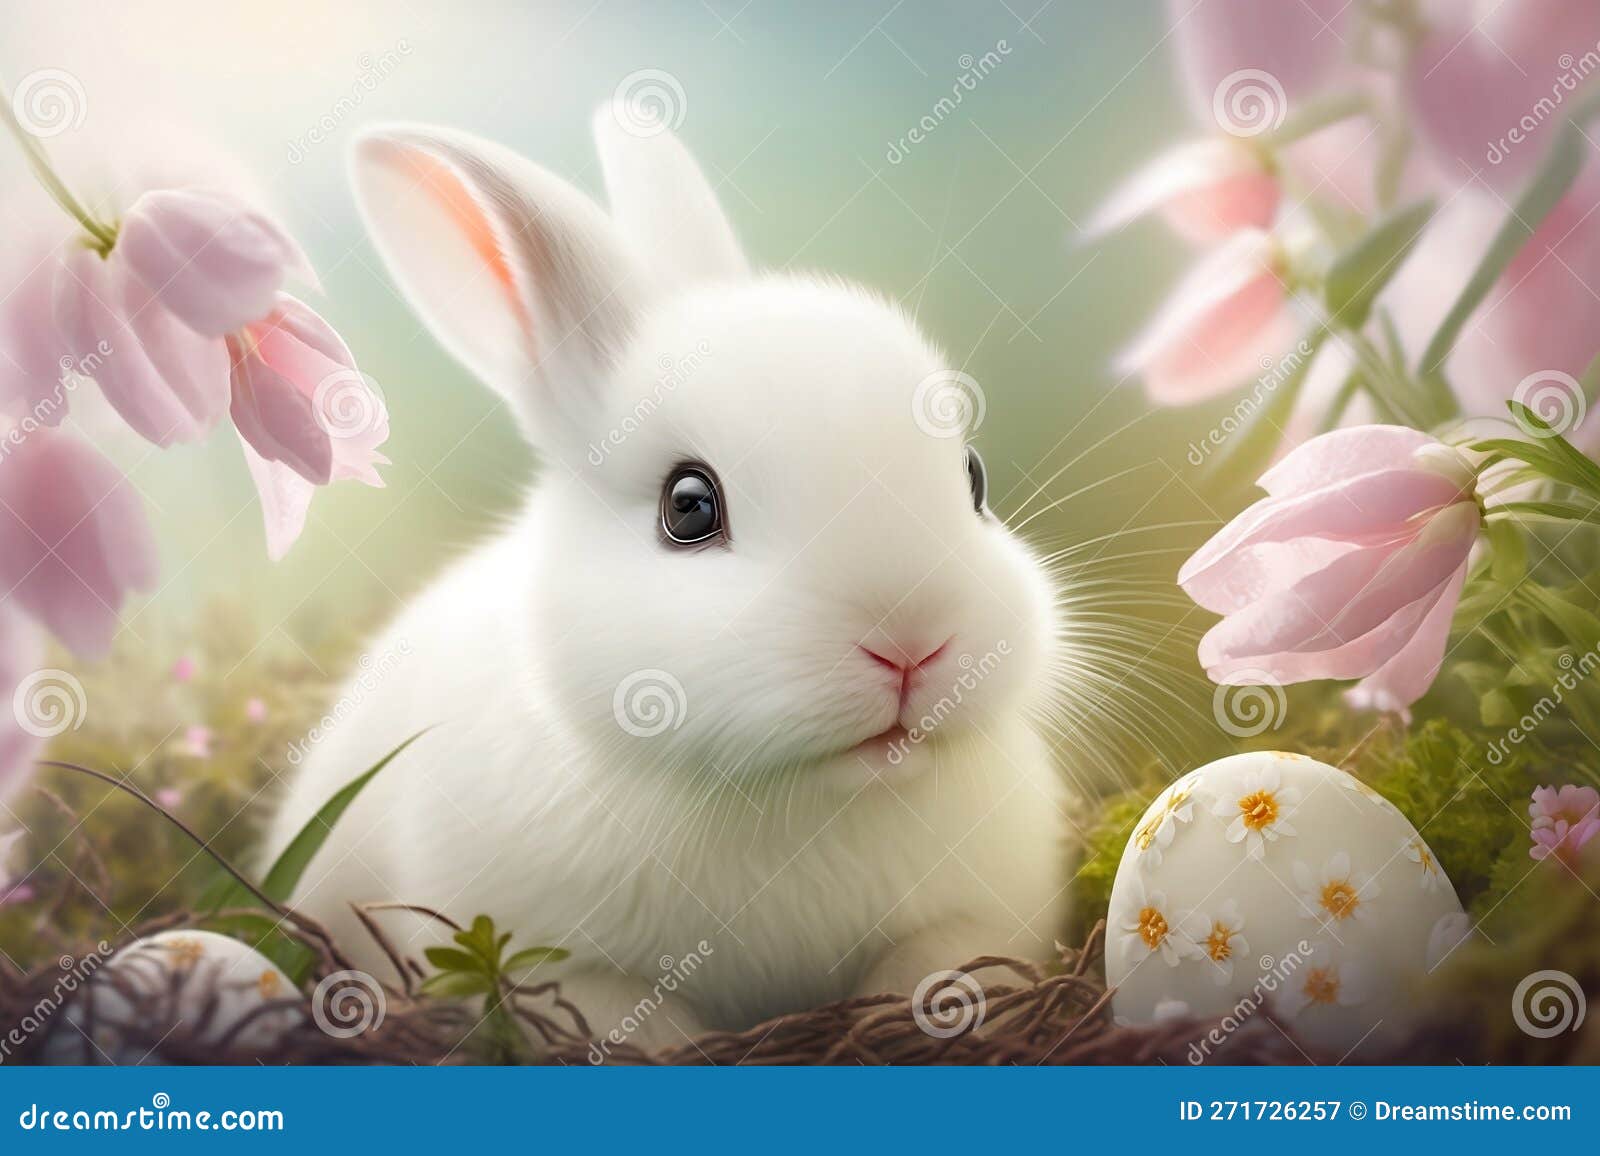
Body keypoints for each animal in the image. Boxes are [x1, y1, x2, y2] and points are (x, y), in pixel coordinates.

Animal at [265, 109, 1076, 1050]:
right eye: (688, 507)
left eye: (974, 478)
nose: (912, 646)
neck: (803, 798)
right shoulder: (558, 965)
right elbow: (638, 1027)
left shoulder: (981, 917)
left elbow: (935, 968)